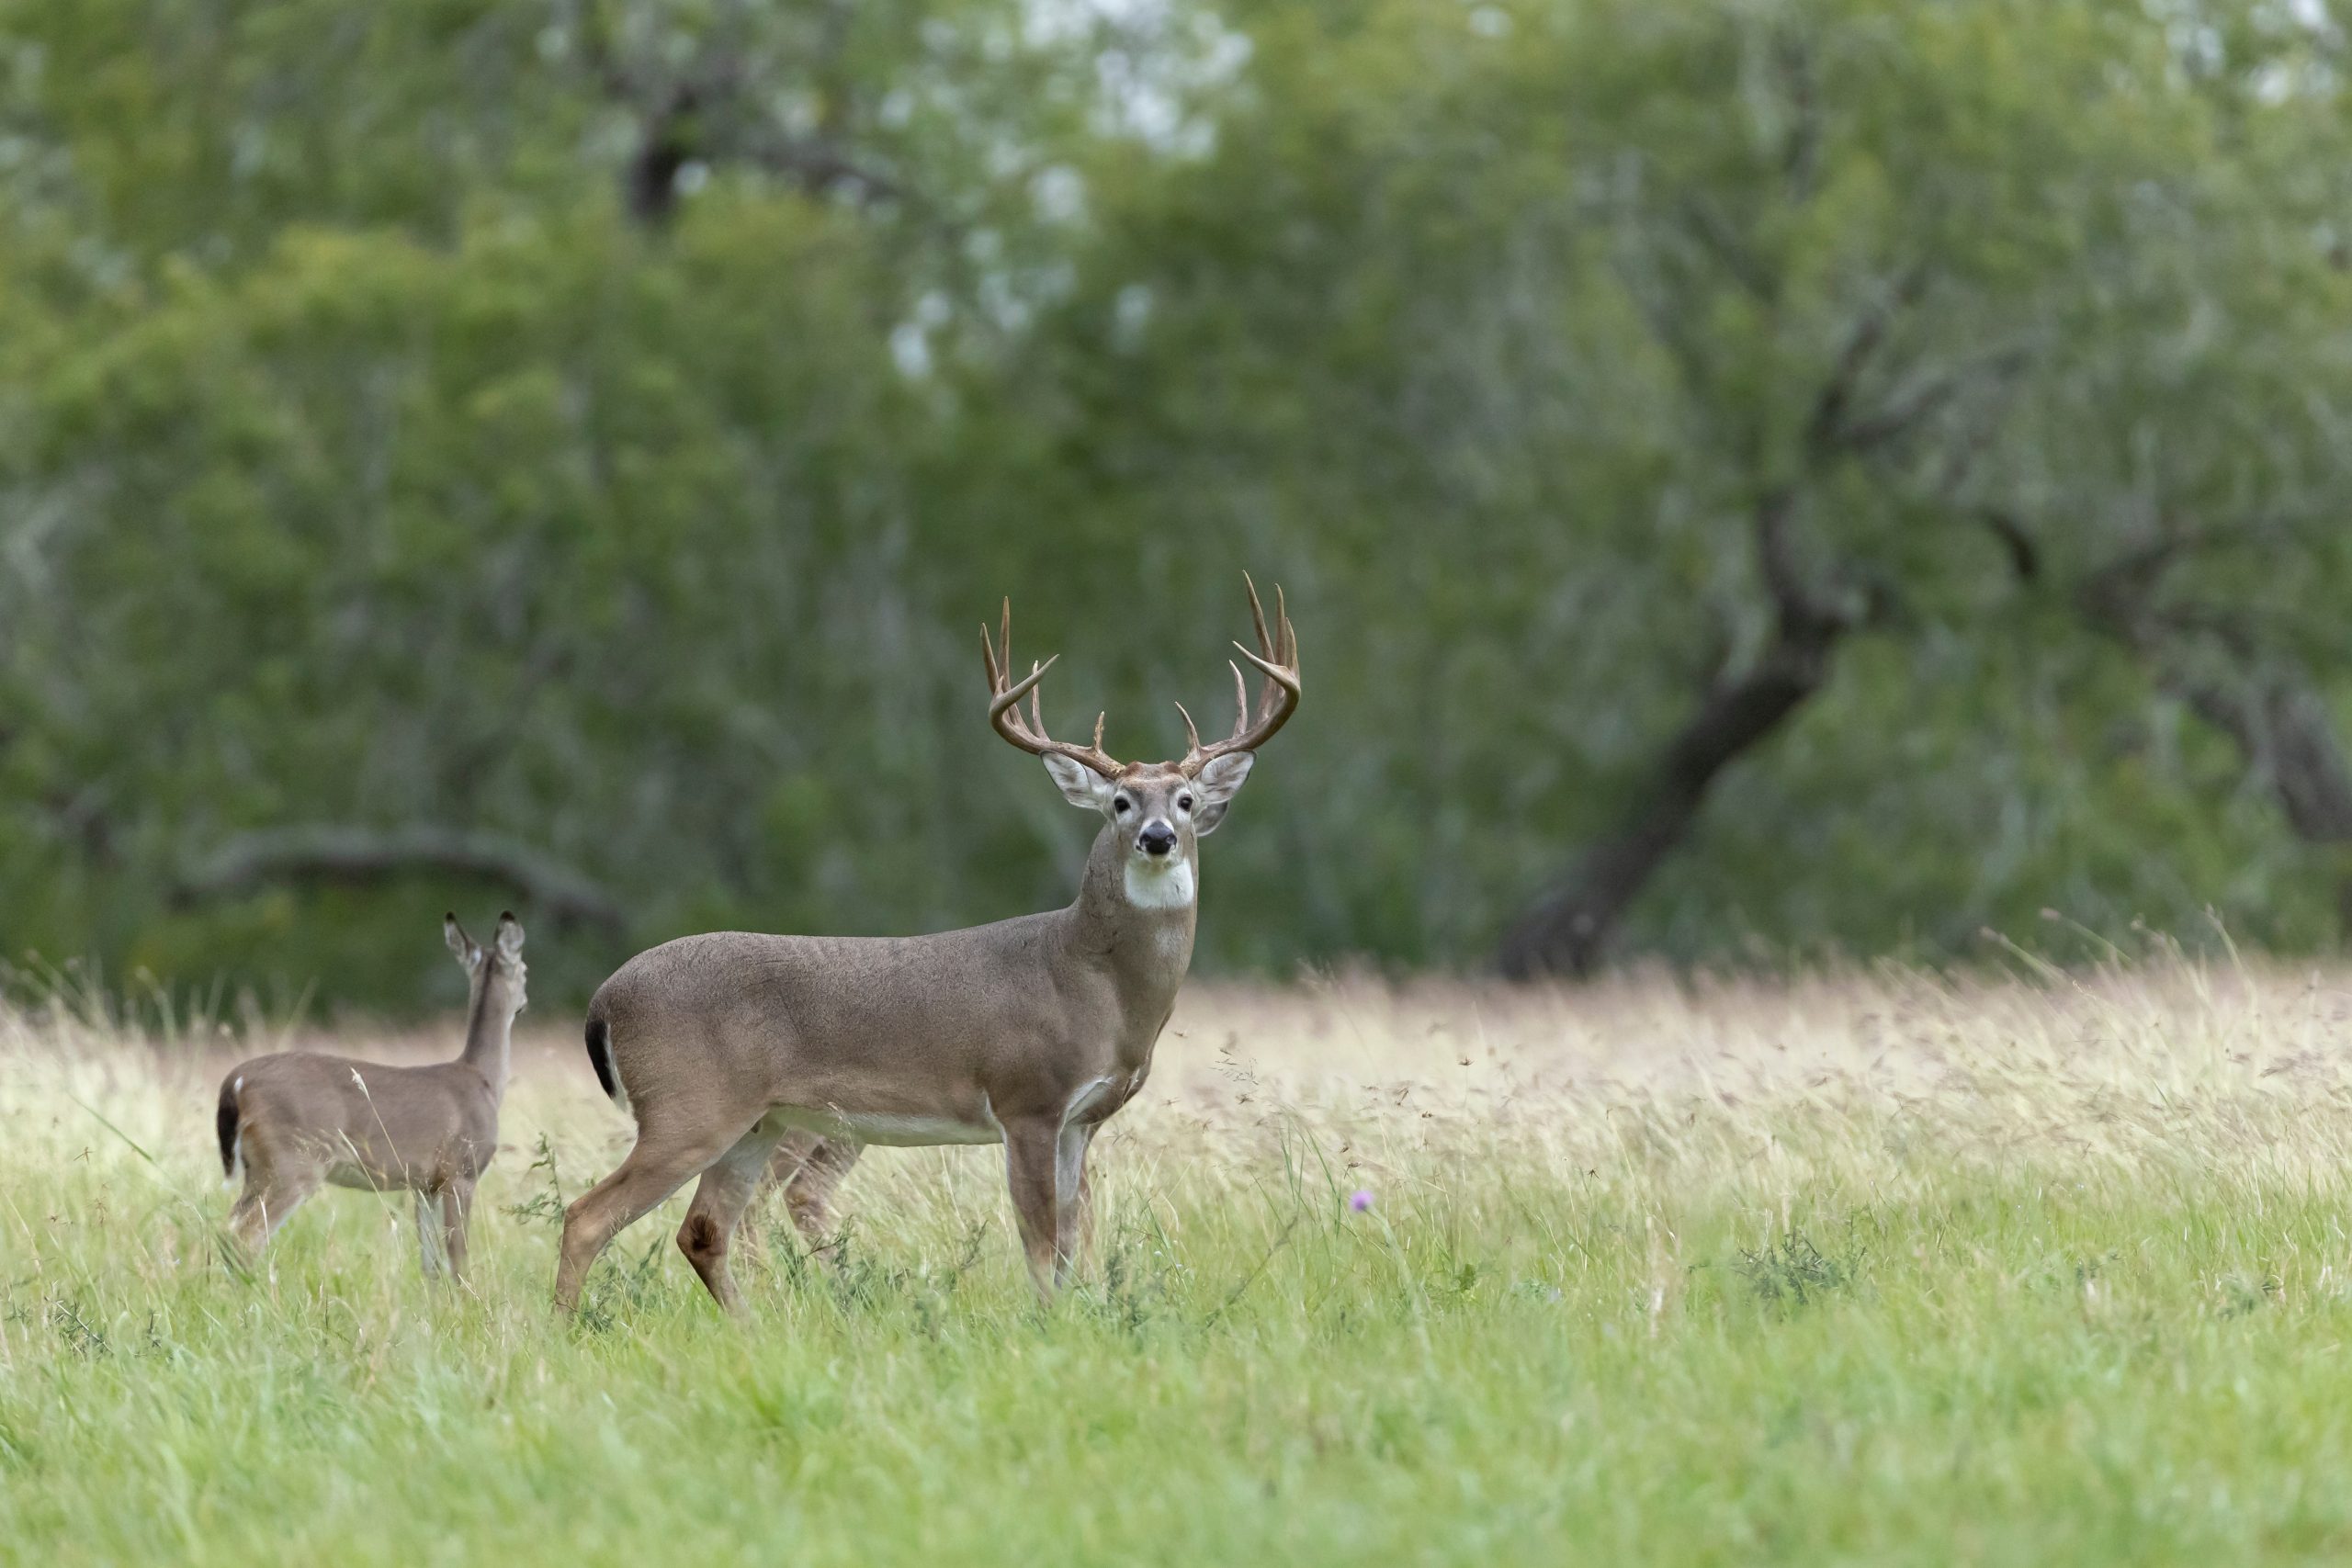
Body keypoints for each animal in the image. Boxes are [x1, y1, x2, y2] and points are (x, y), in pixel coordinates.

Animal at [215, 912, 527, 1282]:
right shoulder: (460, 1171)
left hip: (258, 1169)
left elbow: (431, 1265)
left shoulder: (424, 1184)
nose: (524, 1003)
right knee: (244, 1238)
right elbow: (458, 1259)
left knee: (224, 1229)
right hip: (294, 1163)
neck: (485, 1081)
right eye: (525, 969)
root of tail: (236, 1082)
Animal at [556, 575, 1301, 1315]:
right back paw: (565, 1329)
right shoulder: (1026, 1098)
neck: (1094, 981)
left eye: (1184, 799)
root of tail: (604, 999)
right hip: (689, 1107)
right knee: (589, 1215)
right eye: (1120, 801)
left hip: (758, 1123)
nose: (1157, 836)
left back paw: (754, 1329)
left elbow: (1071, 1241)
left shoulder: (1080, 1120)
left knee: (704, 1229)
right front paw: (1051, 1324)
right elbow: (1040, 1243)